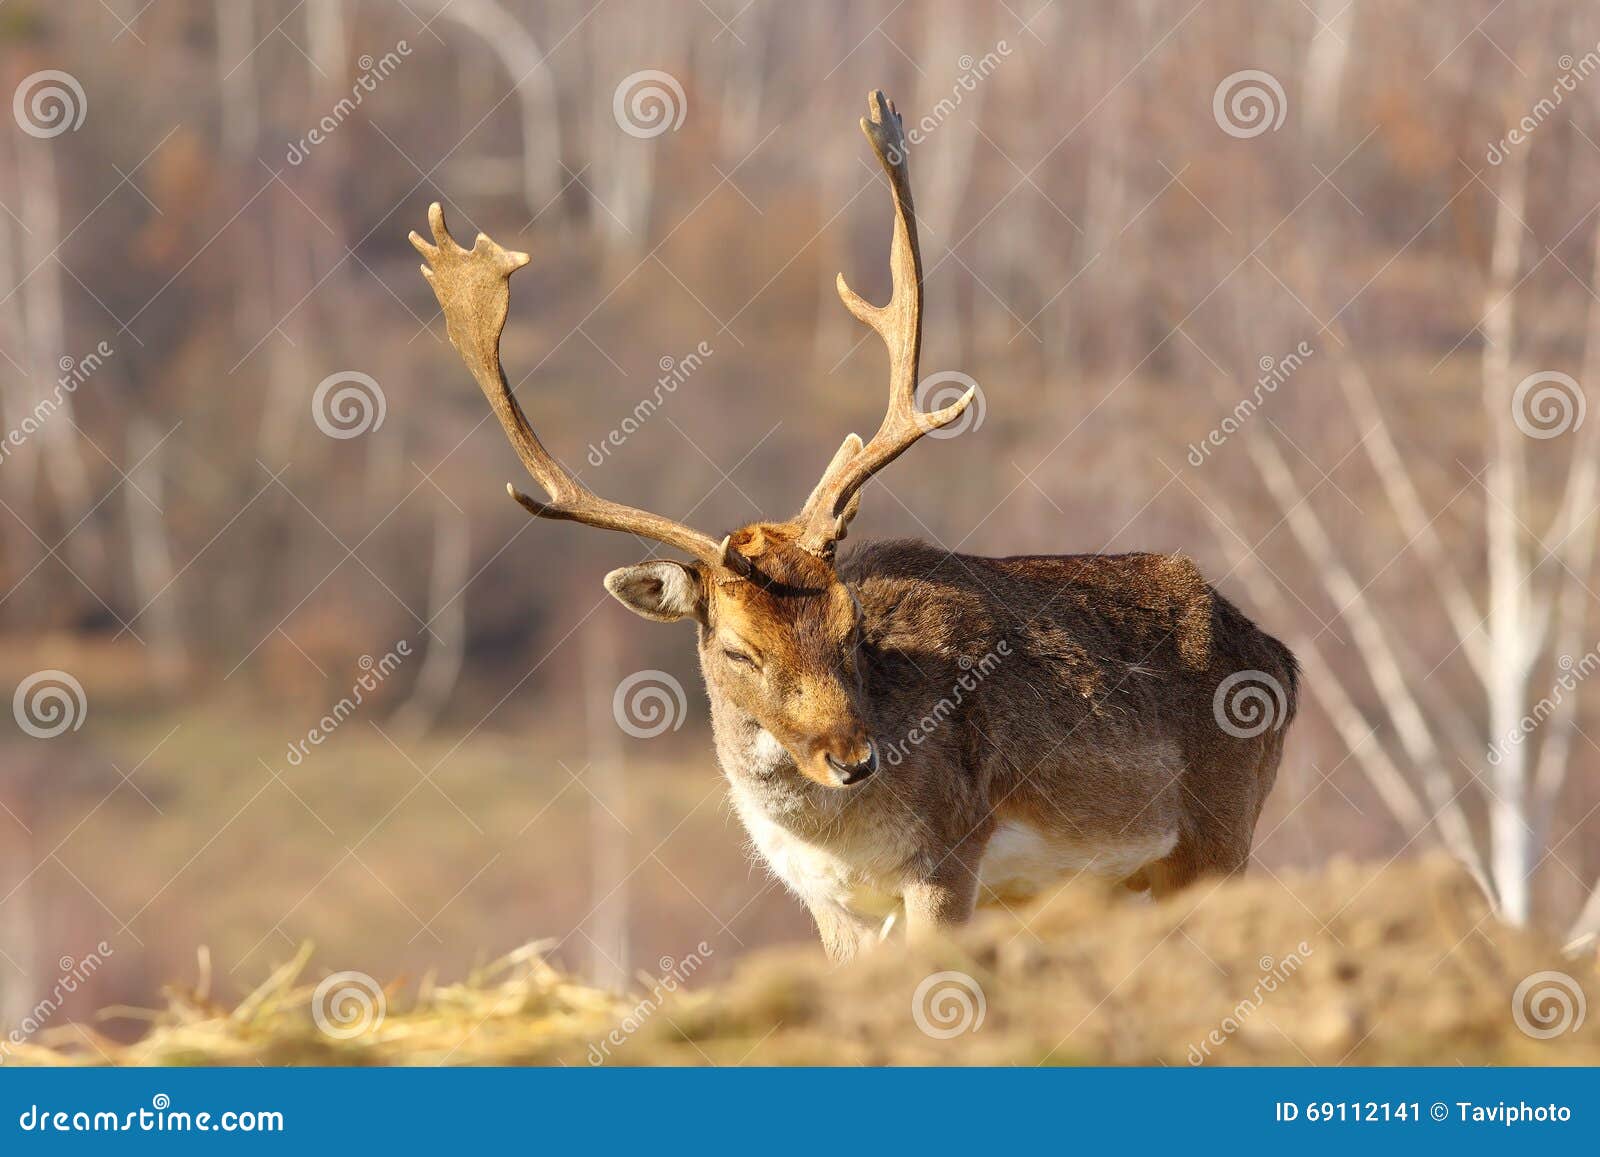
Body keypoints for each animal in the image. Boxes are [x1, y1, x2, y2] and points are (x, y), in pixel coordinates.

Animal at [411, 91, 1299, 962]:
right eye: (738, 648)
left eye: (851, 623)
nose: (853, 757)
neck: (832, 837)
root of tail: (1279, 658)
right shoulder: (829, 899)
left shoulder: (948, 855)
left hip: (1218, 833)